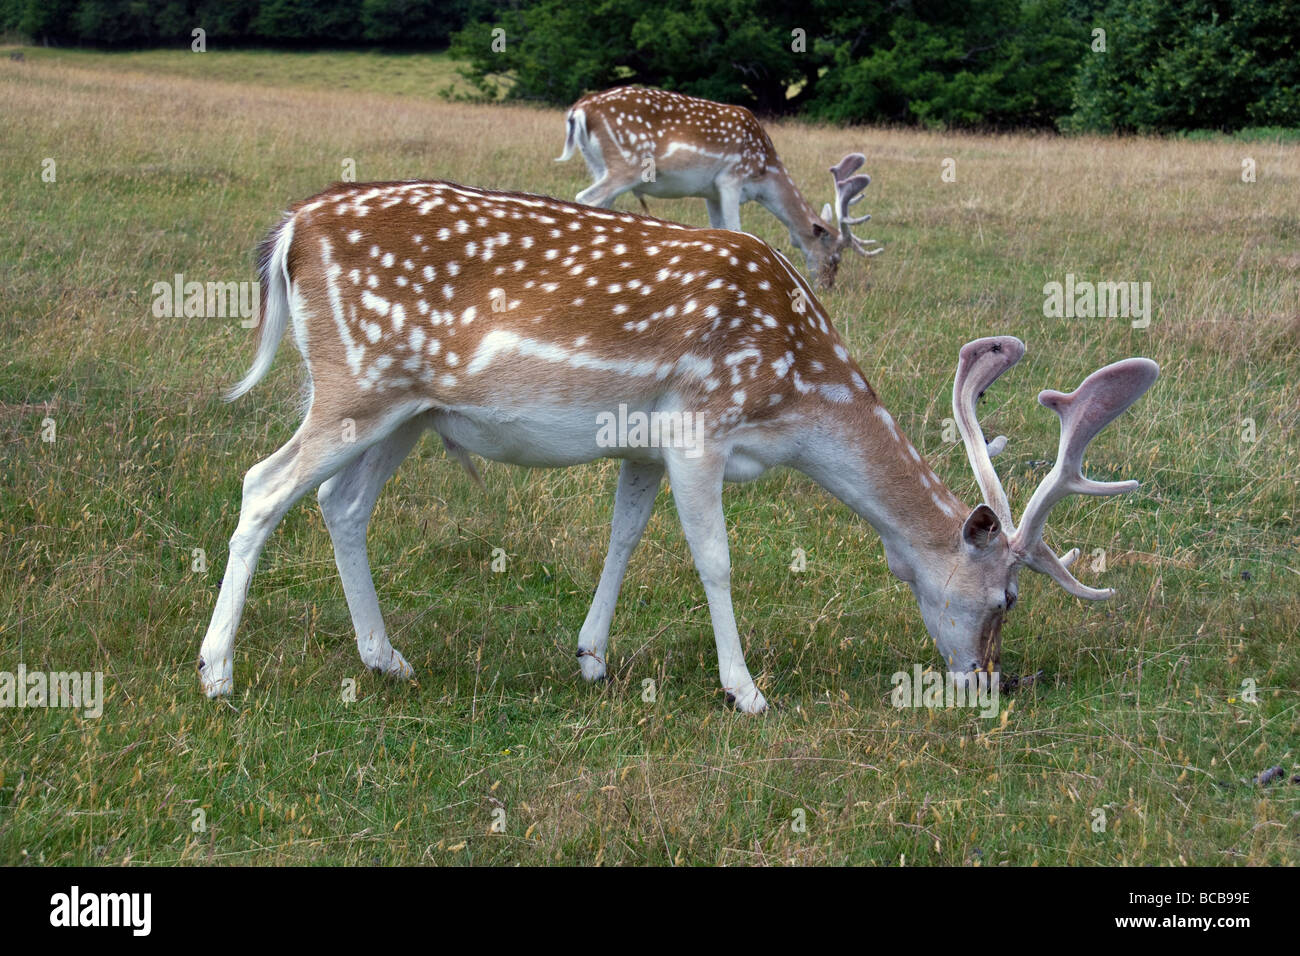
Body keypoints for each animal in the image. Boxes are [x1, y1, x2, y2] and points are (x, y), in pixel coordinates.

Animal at [197, 177, 1159, 713]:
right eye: (1006, 599)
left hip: (409, 411)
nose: (992, 683)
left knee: (341, 504)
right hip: (357, 383)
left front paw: (590, 657)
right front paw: (747, 691)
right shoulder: (702, 422)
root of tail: (291, 231)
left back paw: (387, 658)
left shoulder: (645, 444)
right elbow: (715, 559)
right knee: (260, 485)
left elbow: (624, 536)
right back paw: (217, 674)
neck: (796, 397)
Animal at [555, 86, 882, 290]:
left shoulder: (709, 192)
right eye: (835, 256)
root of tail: (578, 111)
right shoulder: (731, 178)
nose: (828, 285)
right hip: (627, 164)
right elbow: (737, 227)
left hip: (597, 163)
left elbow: (720, 228)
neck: (765, 173)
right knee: (587, 196)